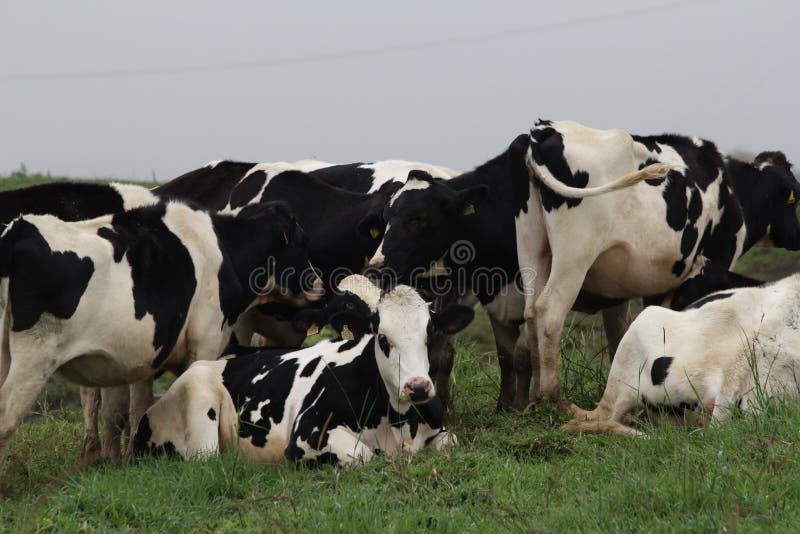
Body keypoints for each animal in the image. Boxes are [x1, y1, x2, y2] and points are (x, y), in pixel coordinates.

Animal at [0, 199, 323, 484]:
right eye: (303, 241)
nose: (320, 283)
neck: (224, 251)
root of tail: (21, 228)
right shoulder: (205, 343)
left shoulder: (136, 357)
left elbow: (128, 410)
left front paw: (123, 460)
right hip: (34, 356)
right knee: (6, 417)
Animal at [133, 276, 473, 465]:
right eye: (382, 337)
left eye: (430, 334)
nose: (418, 386)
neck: (399, 423)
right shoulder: (307, 434)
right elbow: (364, 456)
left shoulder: (442, 434)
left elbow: (451, 443)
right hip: (200, 406)